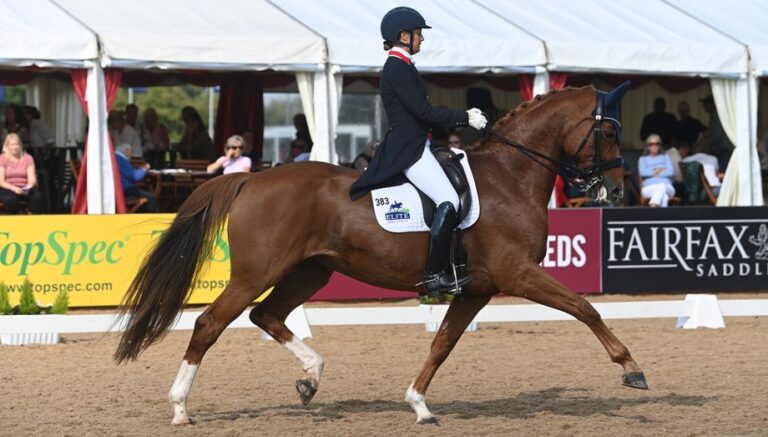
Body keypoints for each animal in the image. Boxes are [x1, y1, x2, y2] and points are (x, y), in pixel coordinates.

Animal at [114, 83, 647, 426]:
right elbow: (585, 307)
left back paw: (311, 378)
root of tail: (250, 178)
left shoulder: (476, 289)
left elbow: (442, 343)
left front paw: (419, 405)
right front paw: (632, 370)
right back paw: (181, 408)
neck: (510, 176)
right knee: (210, 323)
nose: (618, 192)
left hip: (310, 272)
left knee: (266, 316)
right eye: (609, 132)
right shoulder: (518, 273)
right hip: (257, 272)